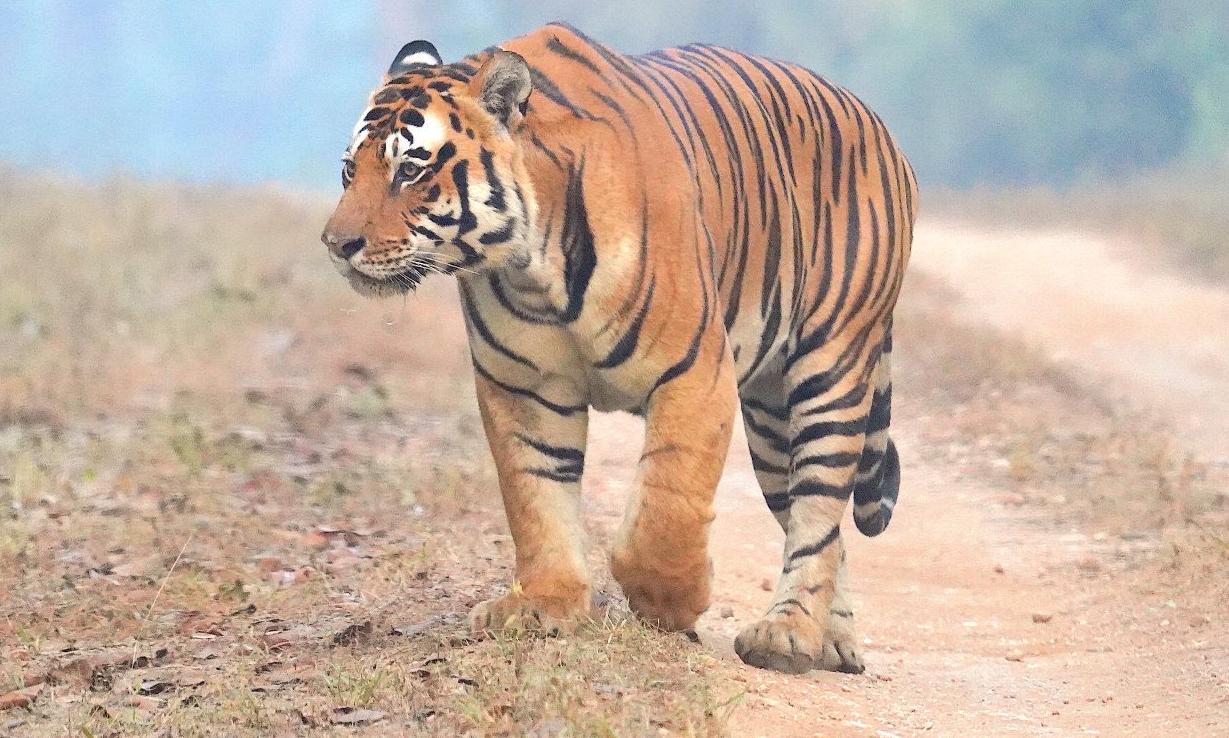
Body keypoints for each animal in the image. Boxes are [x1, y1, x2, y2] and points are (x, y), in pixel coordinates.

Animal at [321, 22, 917, 675]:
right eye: (349, 171)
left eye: (409, 171)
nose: (336, 244)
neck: (532, 266)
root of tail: (879, 125)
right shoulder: (524, 389)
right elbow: (535, 498)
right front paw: (544, 605)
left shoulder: (695, 374)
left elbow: (667, 504)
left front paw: (672, 602)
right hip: (769, 415)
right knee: (826, 531)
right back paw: (833, 639)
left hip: (831, 368)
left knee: (818, 509)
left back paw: (788, 634)